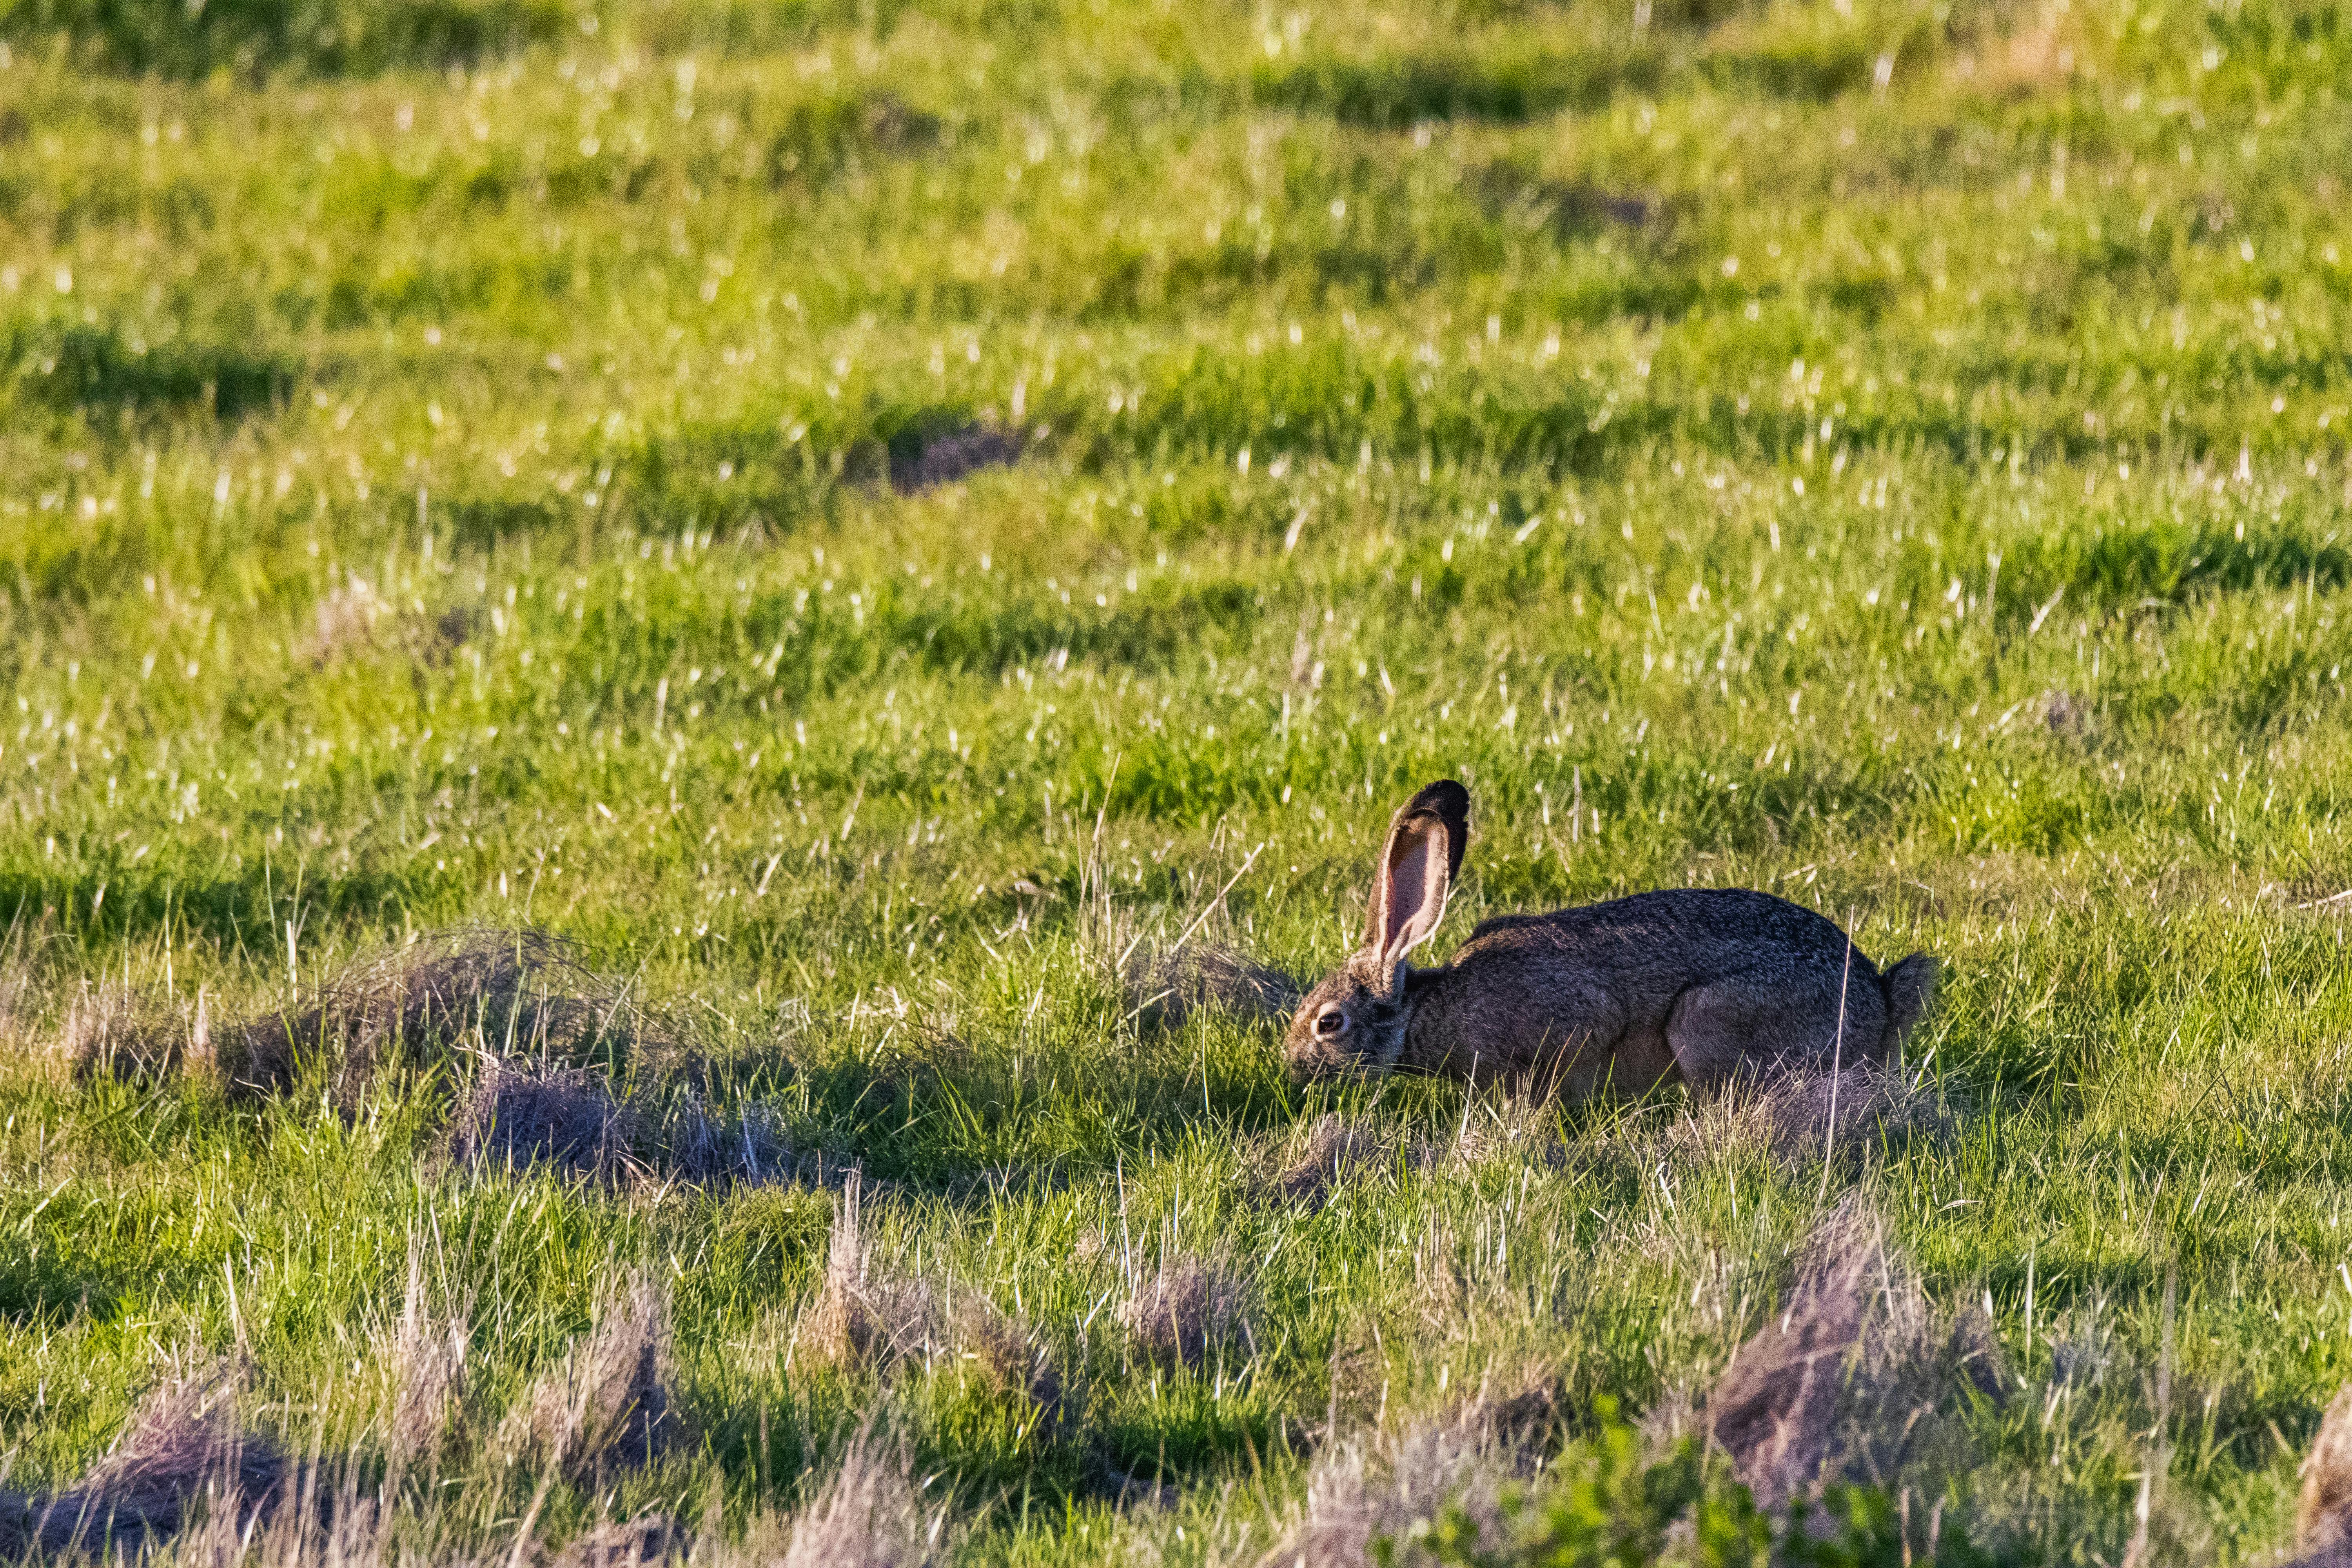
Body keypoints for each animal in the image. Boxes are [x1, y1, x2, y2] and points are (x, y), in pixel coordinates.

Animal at [1281, 780, 1938, 1096]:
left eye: (1329, 1023)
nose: (1292, 1068)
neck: (1425, 1007)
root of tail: (1881, 1010)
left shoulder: (1572, 1028)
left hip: (1707, 1022)